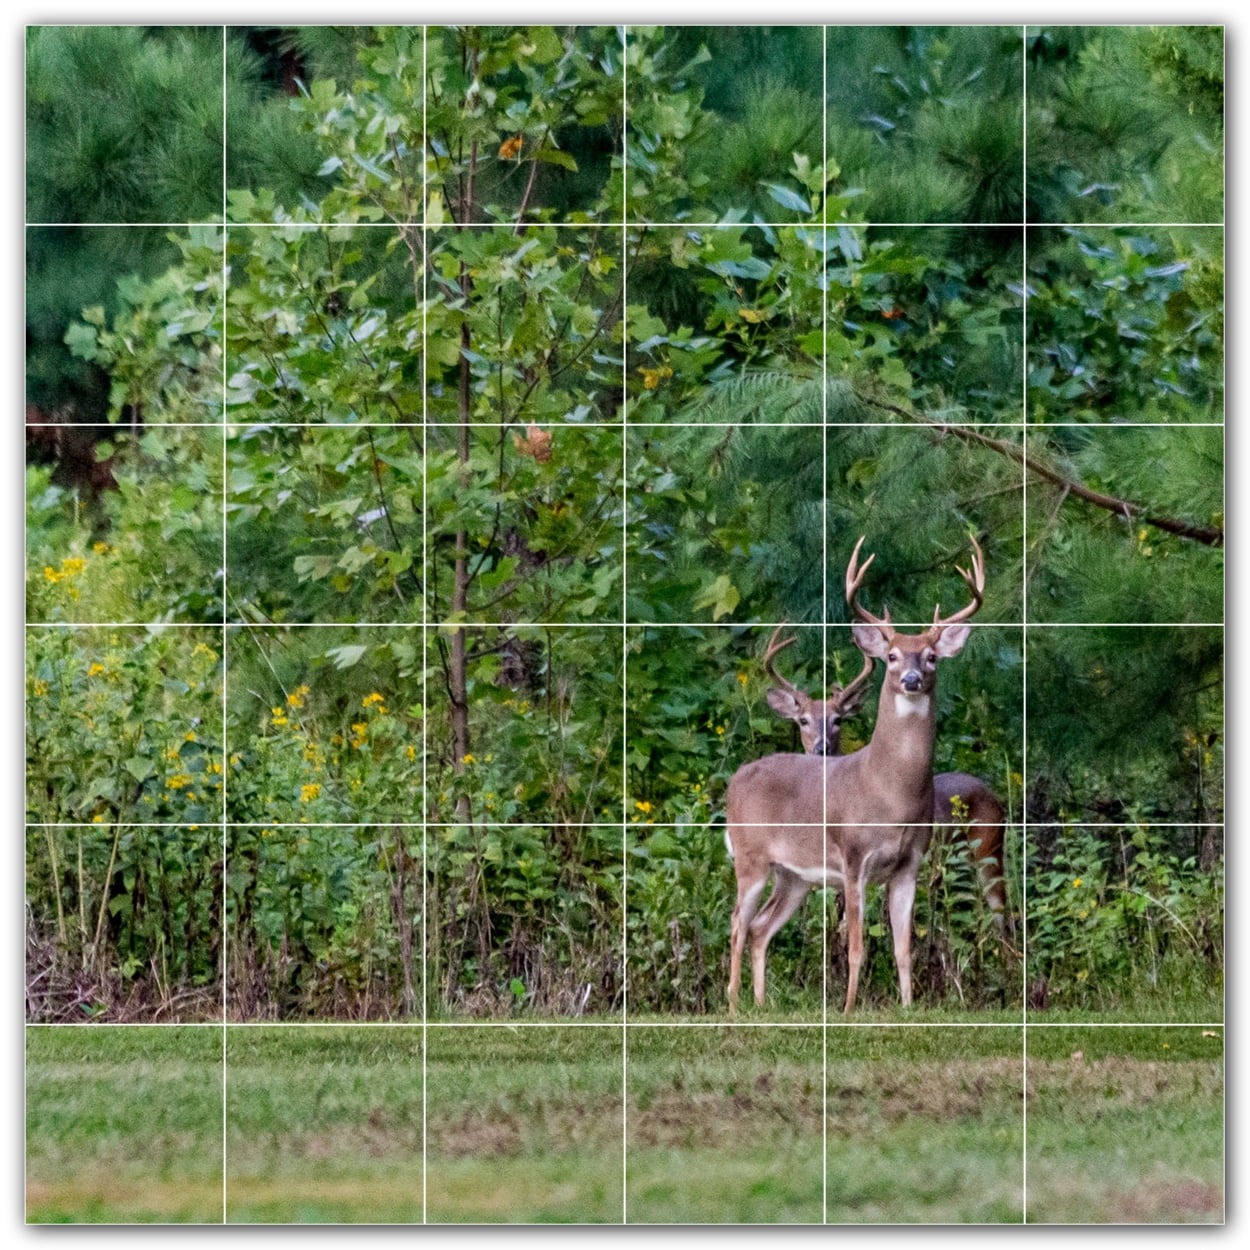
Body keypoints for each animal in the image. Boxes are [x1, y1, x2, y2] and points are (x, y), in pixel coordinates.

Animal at [725, 535, 984, 1013]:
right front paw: (846, 1010)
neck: (890, 791)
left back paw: (761, 1003)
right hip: (751, 857)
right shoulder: (853, 857)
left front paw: (908, 1008)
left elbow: (903, 947)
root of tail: (737, 778)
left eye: (932, 656)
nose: (913, 678)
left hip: (795, 875)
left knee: (760, 927)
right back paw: (733, 1005)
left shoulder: (909, 863)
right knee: (737, 923)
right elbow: (857, 946)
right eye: (893, 655)